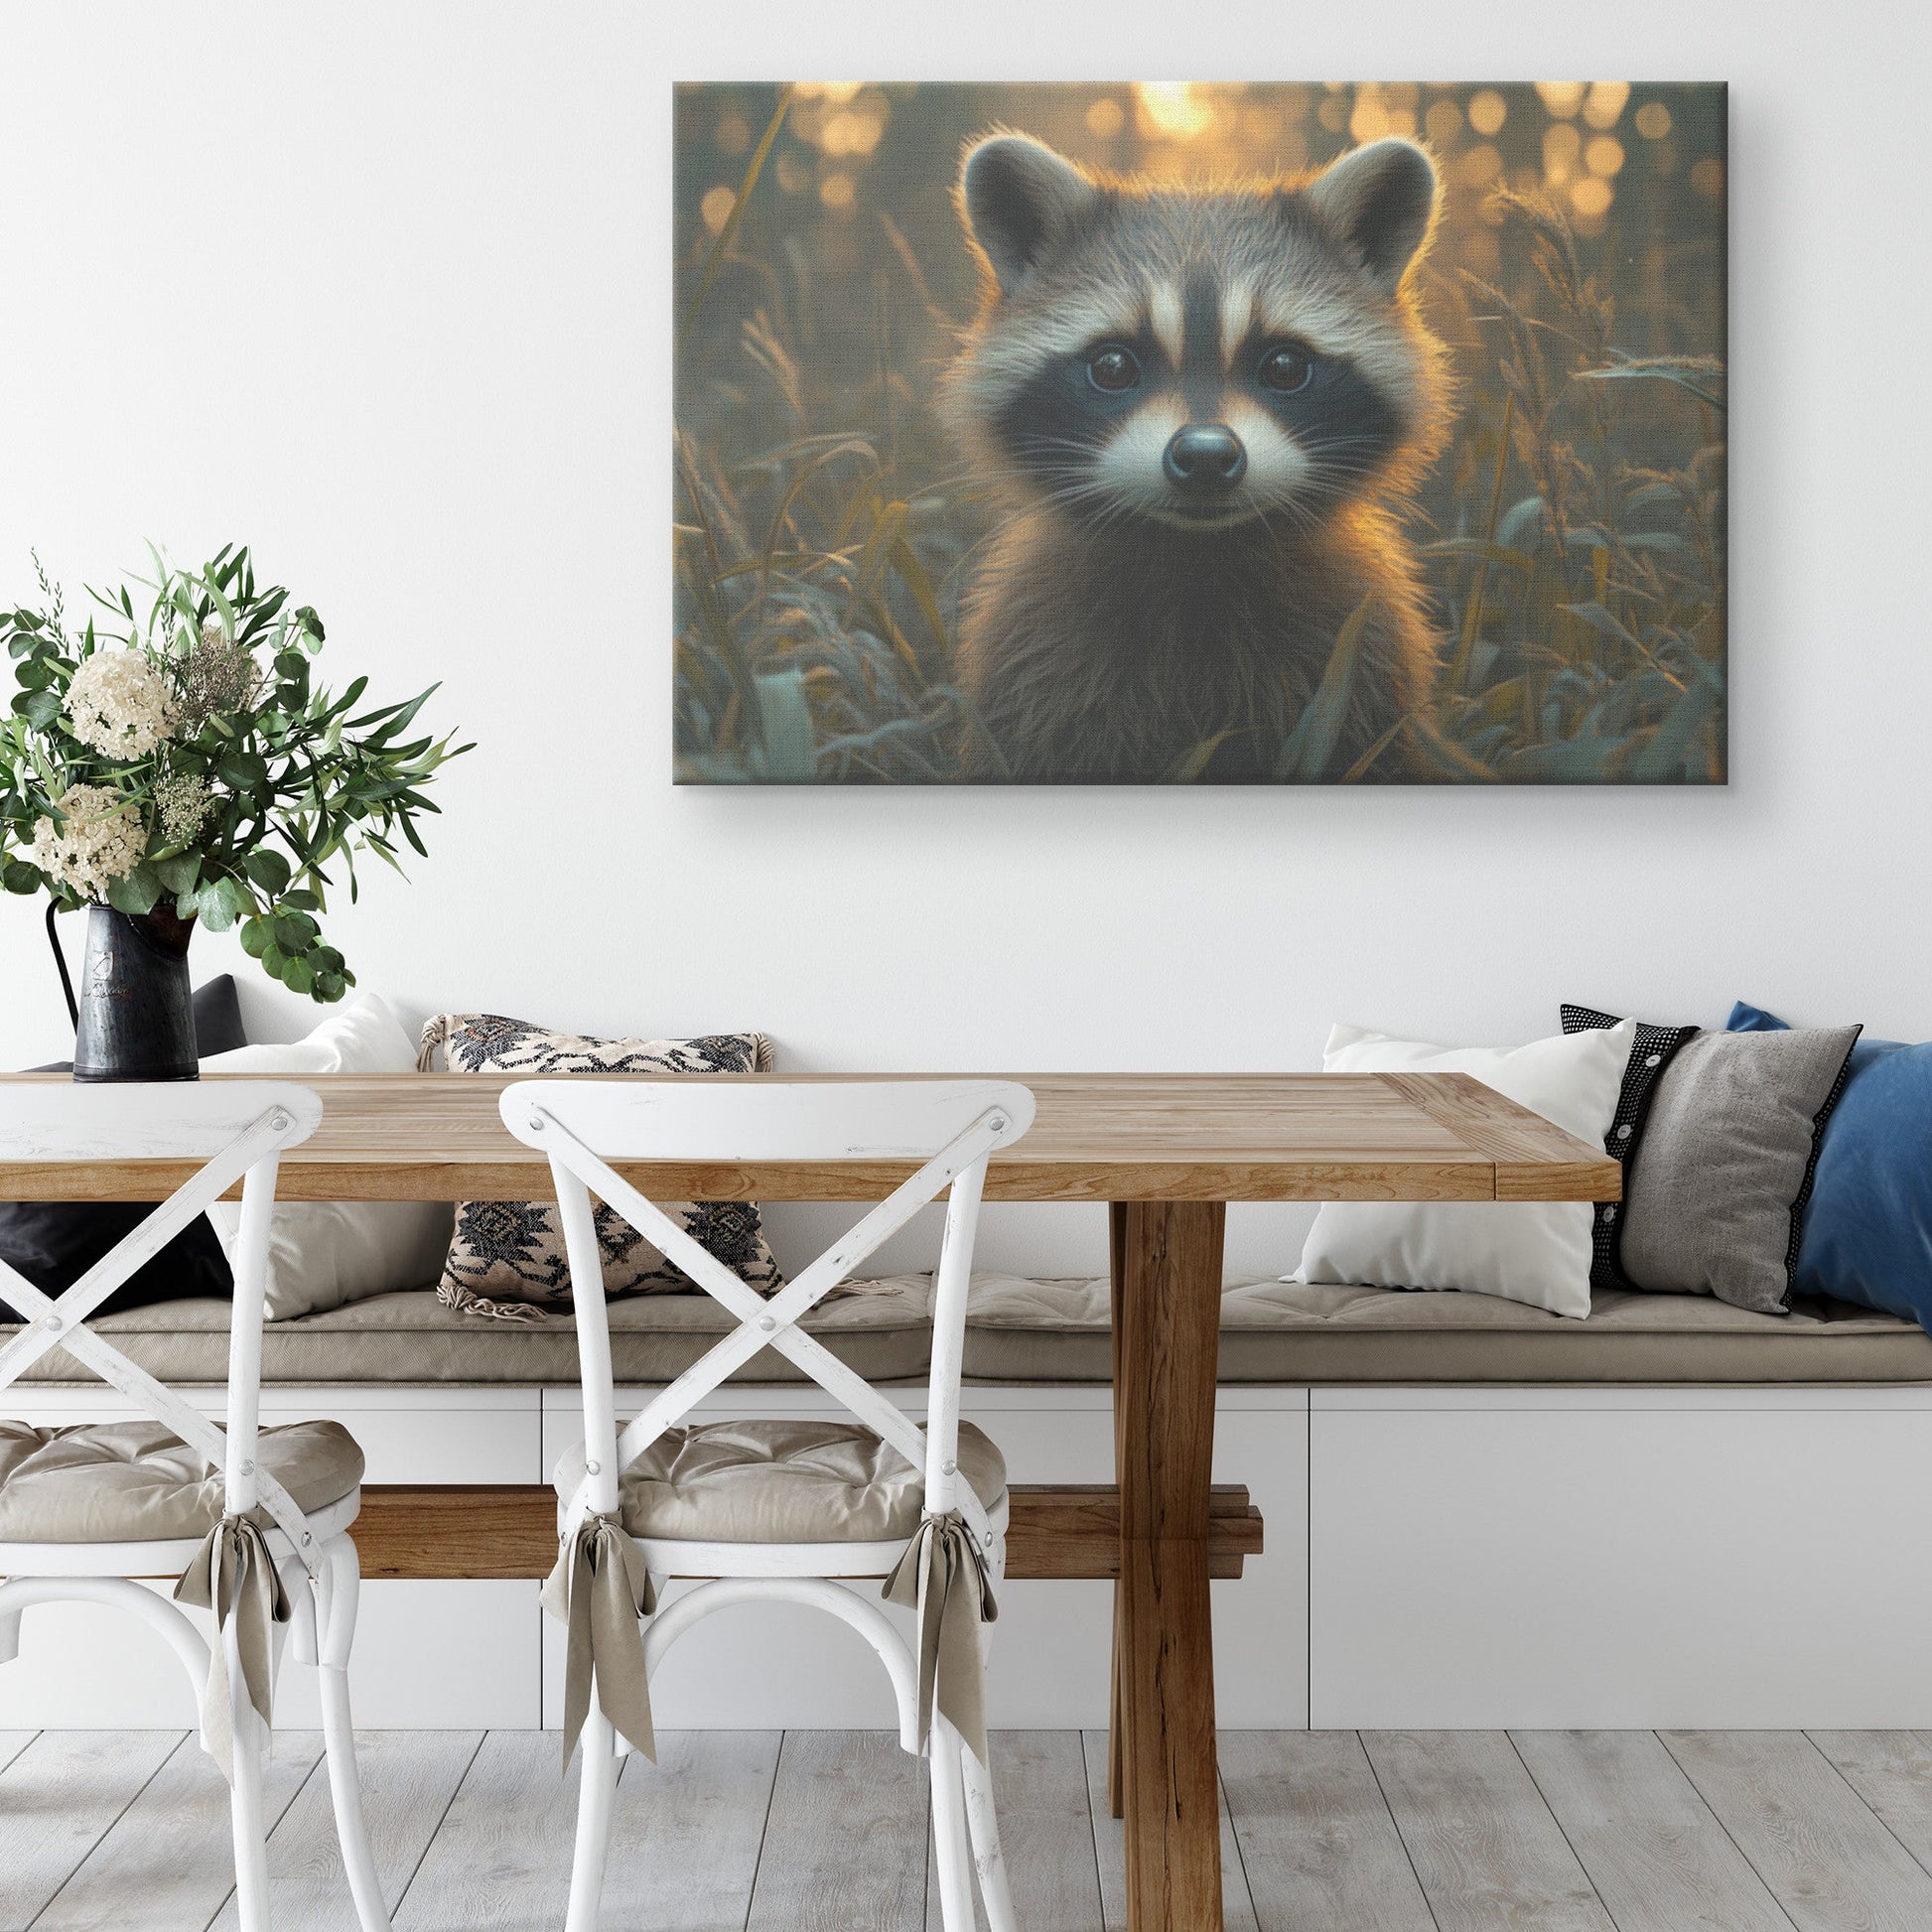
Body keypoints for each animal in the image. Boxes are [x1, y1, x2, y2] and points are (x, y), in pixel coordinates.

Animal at [944, 132, 1453, 782]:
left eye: (1284, 365)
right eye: (1113, 365)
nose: (1206, 456)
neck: (1197, 559)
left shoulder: (1364, 651)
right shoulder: (1033, 664)